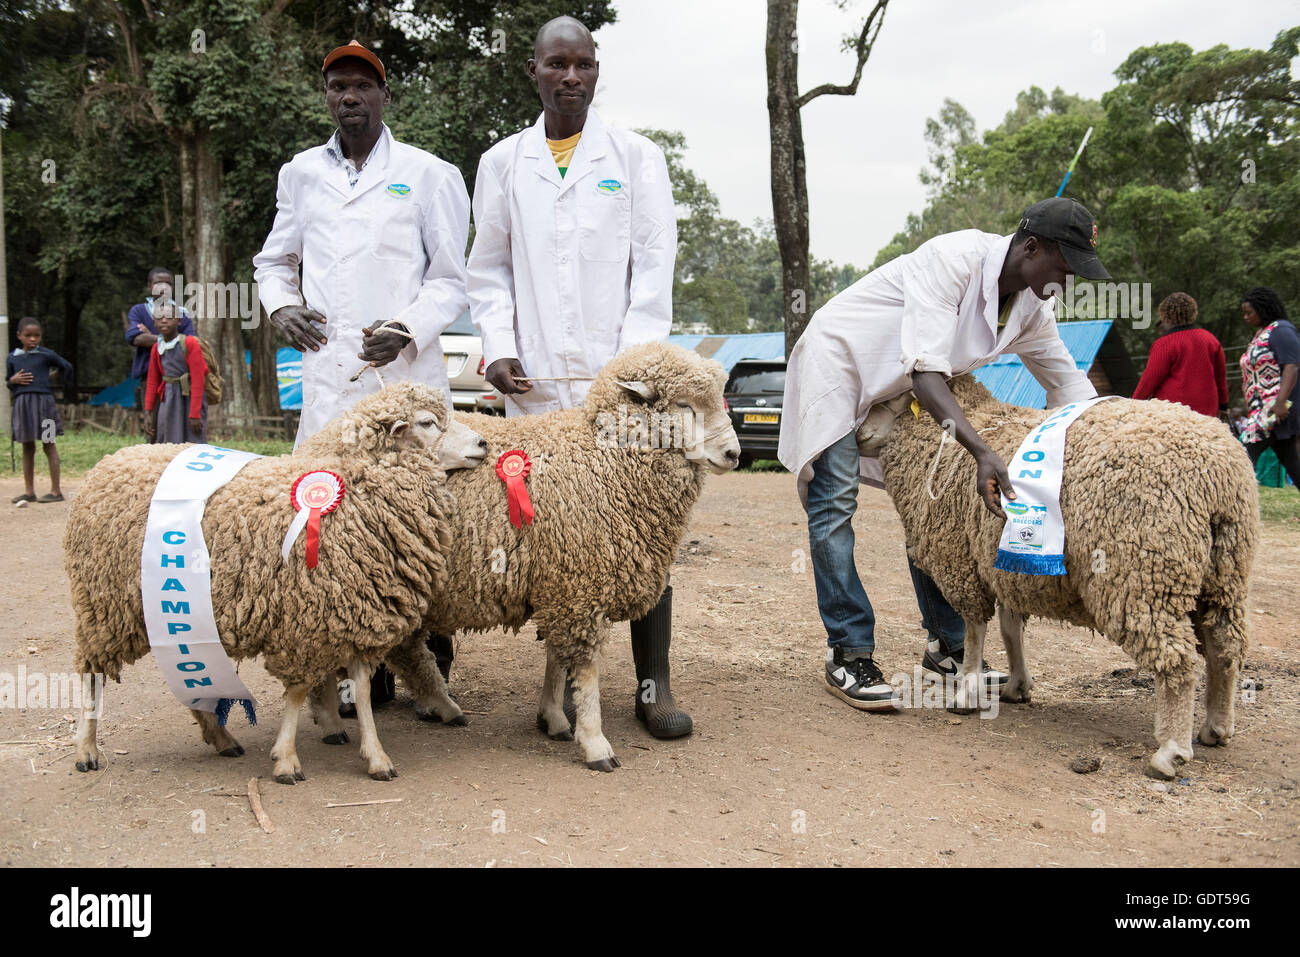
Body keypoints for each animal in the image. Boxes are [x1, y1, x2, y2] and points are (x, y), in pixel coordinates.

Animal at [66, 382, 487, 783]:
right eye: (427, 423)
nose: (483, 444)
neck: (354, 493)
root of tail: (107, 464)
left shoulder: (354, 608)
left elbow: (363, 689)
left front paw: (376, 756)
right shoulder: (303, 618)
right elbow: (298, 690)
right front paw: (286, 759)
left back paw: (221, 737)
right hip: (104, 607)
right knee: (91, 673)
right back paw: (86, 750)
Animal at [368, 342, 741, 771]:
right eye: (682, 404)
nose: (734, 453)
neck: (605, 458)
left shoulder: (561, 578)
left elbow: (556, 659)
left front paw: (554, 717)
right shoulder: (579, 581)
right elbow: (585, 668)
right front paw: (595, 742)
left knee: (406, 648)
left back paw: (439, 705)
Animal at [859, 375, 1258, 779]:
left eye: (889, 400)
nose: (857, 433)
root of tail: (1217, 474)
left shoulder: (961, 561)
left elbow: (974, 631)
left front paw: (967, 691)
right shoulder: (1007, 563)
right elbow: (1010, 629)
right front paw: (1018, 686)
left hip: (1143, 576)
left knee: (1179, 660)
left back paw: (1171, 751)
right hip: (1225, 572)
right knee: (1226, 647)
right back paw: (1217, 726)